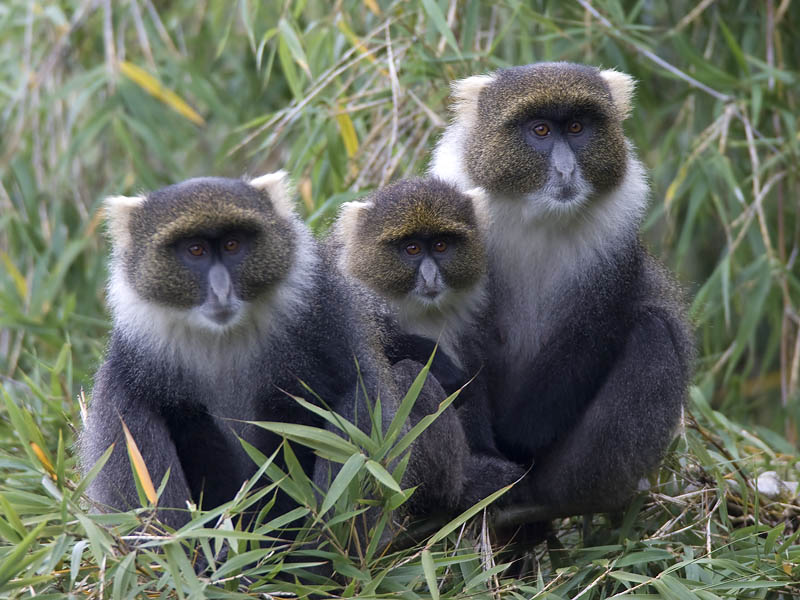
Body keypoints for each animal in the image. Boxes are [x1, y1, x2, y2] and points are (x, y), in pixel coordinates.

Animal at [331, 177, 525, 509]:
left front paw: (488, 457)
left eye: (441, 245)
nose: (430, 277)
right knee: (409, 377)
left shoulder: (471, 329)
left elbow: (475, 380)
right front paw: (444, 369)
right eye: (411, 249)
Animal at [429, 62, 694, 517]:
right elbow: (466, 350)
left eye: (575, 127)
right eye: (540, 131)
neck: (538, 219)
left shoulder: (611, 255)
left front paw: (519, 442)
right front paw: (487, 470)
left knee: (654, 333)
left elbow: (588, 339)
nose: (567, 170)